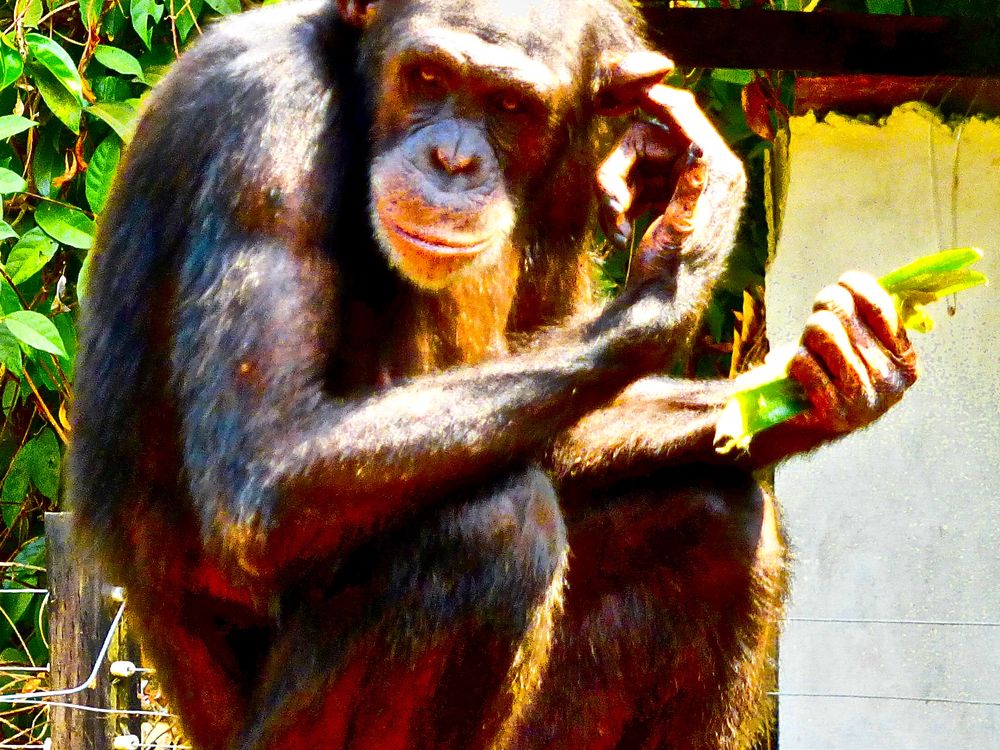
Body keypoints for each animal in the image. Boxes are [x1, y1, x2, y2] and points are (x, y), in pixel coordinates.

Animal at [68, 0, 918, 747]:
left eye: (510, 105)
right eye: (427, 76)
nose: (454, 159)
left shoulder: (572, 174)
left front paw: (835, 366)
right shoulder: (265, 121)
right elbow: (263, 469)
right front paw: (682, 256)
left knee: (716, 519)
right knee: (489, 529)